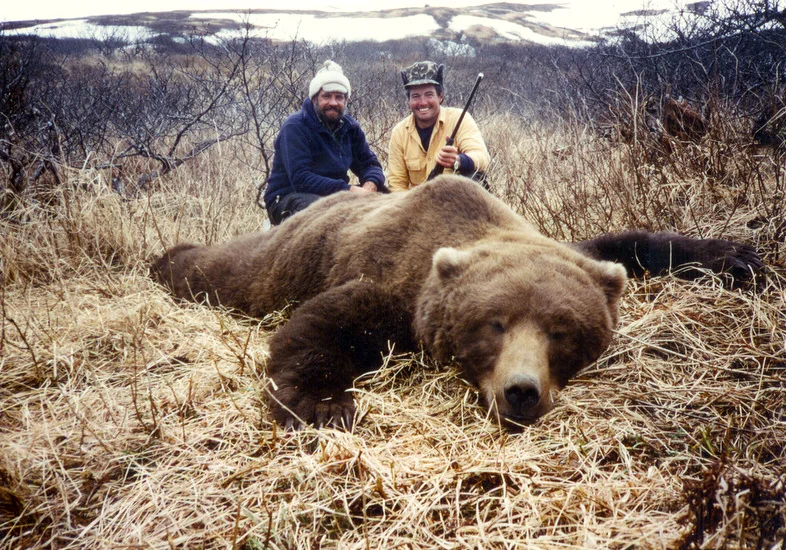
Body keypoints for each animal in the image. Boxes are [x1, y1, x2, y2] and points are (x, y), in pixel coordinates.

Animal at [151, 175, 762, 430]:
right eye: (495, 324)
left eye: (561, 331)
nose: (522, 391)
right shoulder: (399, 288)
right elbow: (323, 323)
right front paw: (324, 405)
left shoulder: (564, 248)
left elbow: (624, 242)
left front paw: (737, 256)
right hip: (281, 260)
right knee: (227, 269)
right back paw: (167, 258)